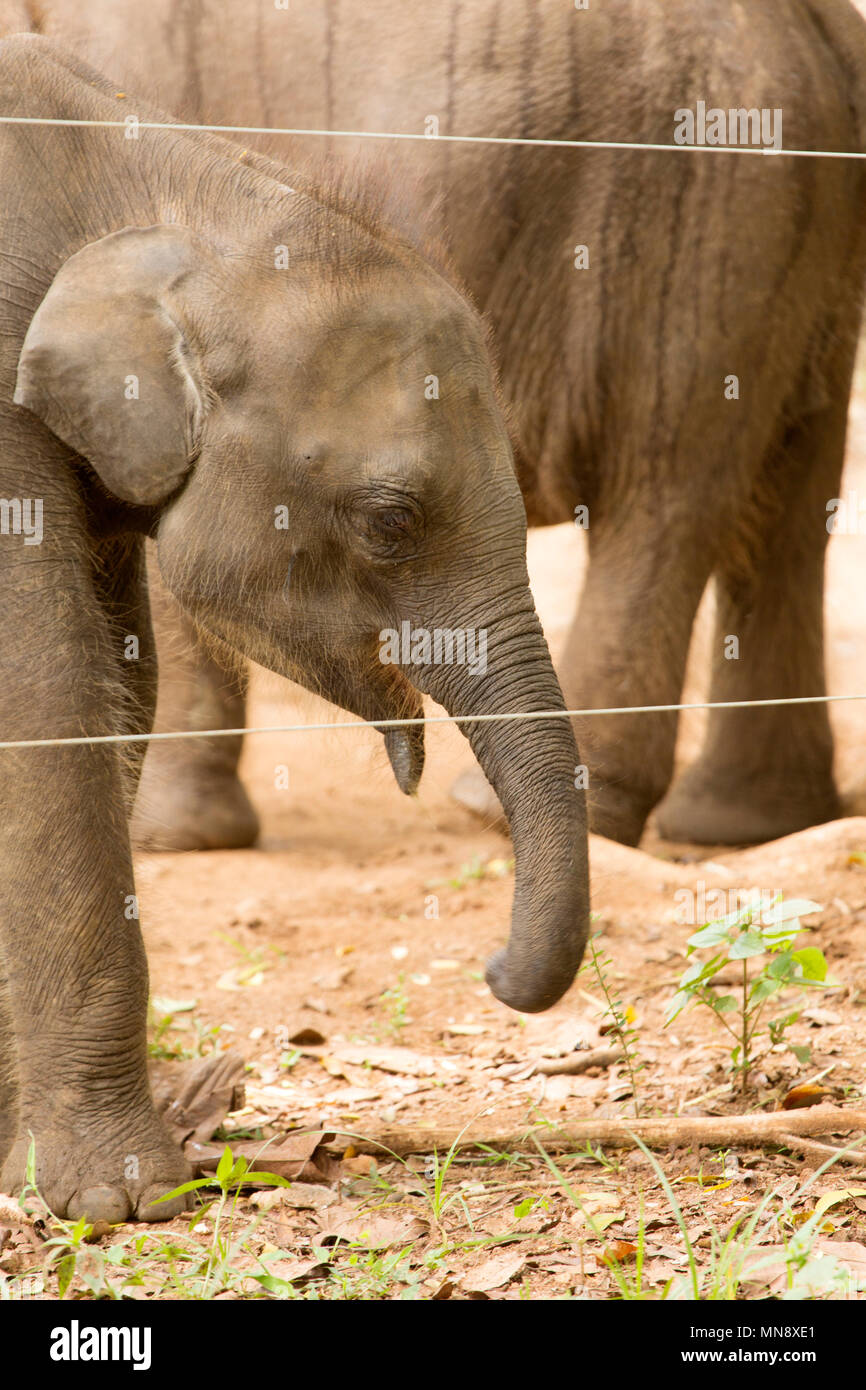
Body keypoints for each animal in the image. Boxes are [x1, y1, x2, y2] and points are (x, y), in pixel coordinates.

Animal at [13, 0, 866, 850]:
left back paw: (507, 811)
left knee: (666, 496)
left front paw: (170, 839)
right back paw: (737, 823)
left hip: (696, 229)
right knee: (787, 513)